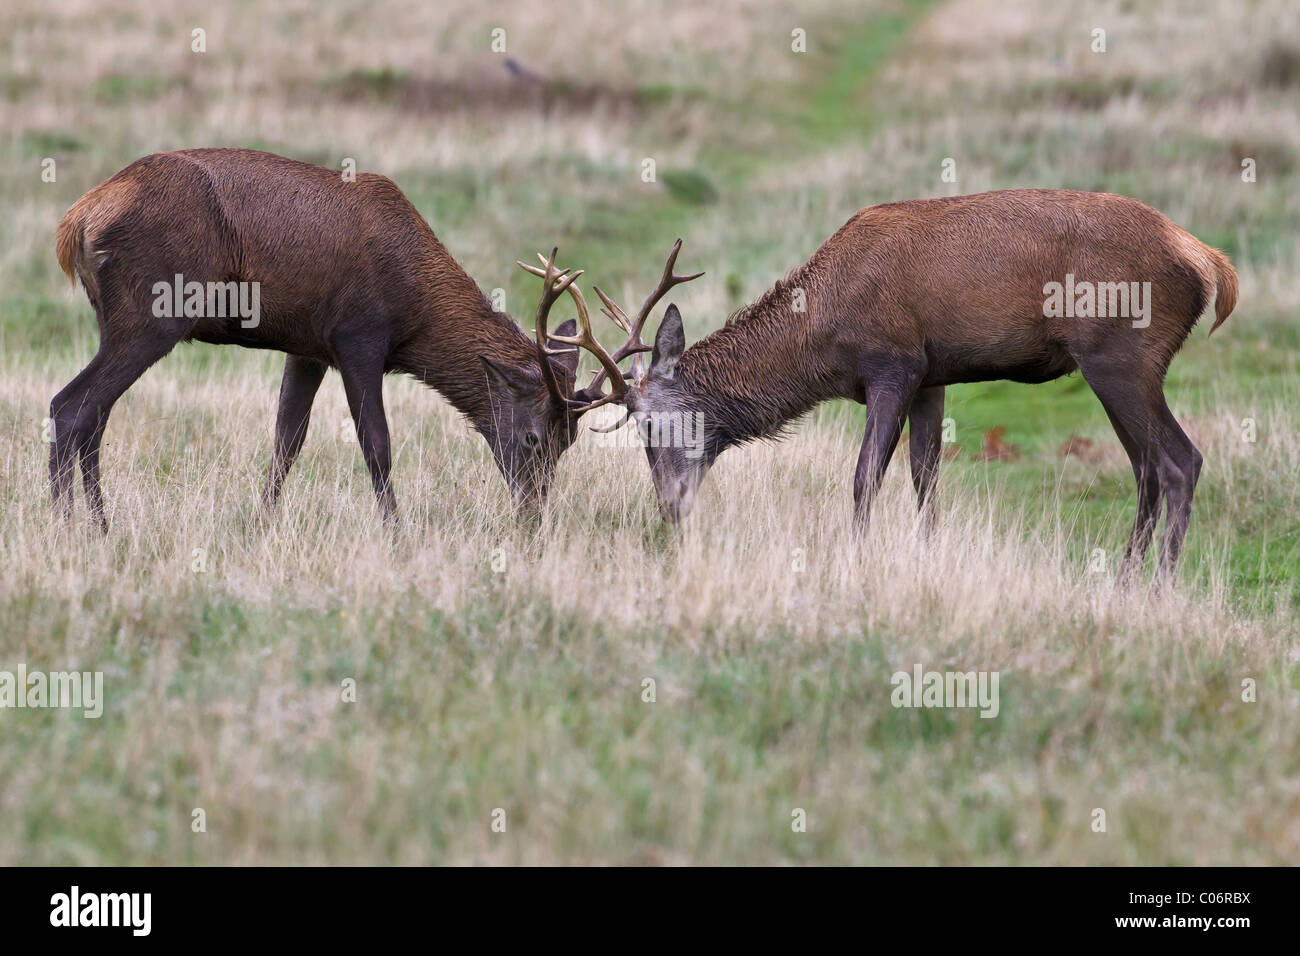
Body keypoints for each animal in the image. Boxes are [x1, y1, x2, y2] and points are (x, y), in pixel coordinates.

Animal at [50, 147, 633, 531]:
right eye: (535, 438)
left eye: (569, 441)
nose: (532, 516)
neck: (415, 311)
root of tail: (76, 221)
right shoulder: (358, 335)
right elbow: (377, 442)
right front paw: (395, 532)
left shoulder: (306, 348)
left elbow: (287, 439)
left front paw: (261, 524)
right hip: (151, 315)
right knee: (70, 405)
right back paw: (72, 526)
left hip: (115, 321)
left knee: (93, 413)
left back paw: (95, 523)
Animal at [574, 190, 1238, 581]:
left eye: (650, 426)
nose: (670, 509)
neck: (822, 333)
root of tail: (1209, 262)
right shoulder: (931, 377)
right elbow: (926, 477)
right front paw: (927, 560)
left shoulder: (893, 362)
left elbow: (865, 476)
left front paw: (855, 565)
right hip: (1116, 365)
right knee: (1146, 468)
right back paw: (1123, 581)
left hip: (1120, 355)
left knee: (1179, 460)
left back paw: (1158, 588)